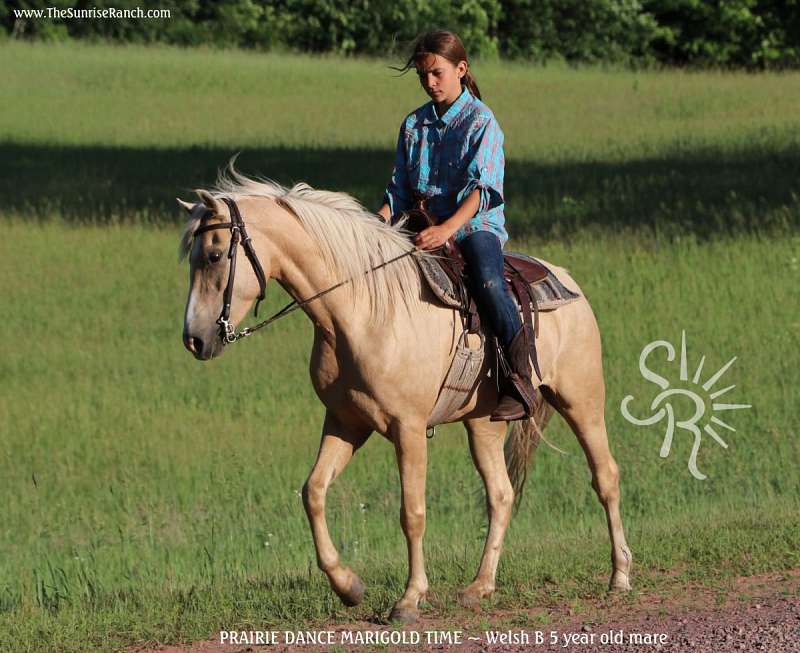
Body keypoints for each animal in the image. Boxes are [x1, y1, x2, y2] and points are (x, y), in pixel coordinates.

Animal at [178, 168, 632, 623]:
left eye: (214, 256)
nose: (194, 340)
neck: (361, 311)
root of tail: (566, 281)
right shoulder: (346, 423)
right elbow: (314, 492)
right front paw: (348, 586)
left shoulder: (408, 429)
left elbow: (411, 513)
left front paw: (410, 599)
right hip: (484, 423)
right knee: (501, 496)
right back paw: (480, 586)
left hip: (581, 401)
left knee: (605, 476)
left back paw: (620, 577)